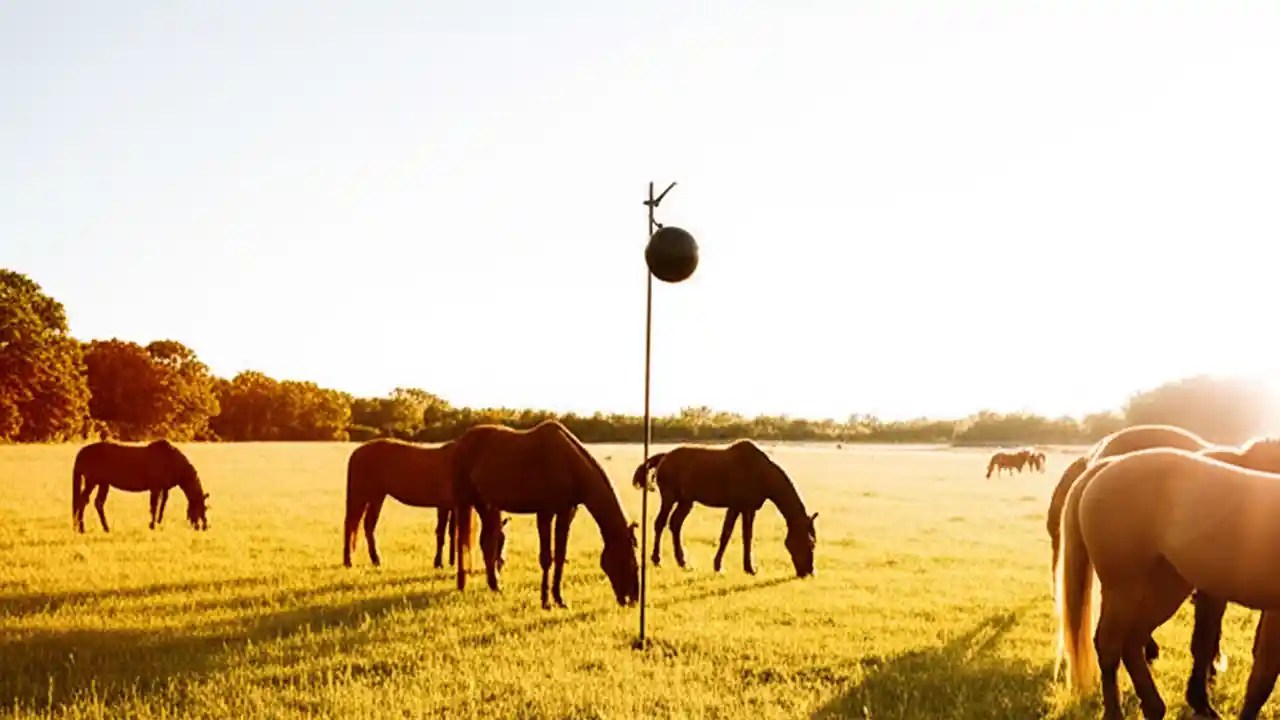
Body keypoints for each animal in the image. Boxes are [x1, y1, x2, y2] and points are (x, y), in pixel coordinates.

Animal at [71, 439, 209, 532]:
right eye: (199, 508)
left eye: (205, 508)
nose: (203, 527)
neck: (171, 461)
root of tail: (82, 452)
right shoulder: (155, 488)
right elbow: (154, 507)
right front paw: (152, 526)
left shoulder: (163, 489)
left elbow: (161, 507)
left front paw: (158, 523)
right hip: (92, 481)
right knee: (83, 501)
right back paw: (82, 529)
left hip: (103, 483)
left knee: (98, 503)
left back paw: (106, 528)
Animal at [344, 438, 498, 570]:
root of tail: (356, 453)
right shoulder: (443, 506)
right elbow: (441, 533)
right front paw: (439, 563)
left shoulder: (454, 507)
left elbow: (453, 533)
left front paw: (452, 562)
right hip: (360, 496)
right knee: (351, 524)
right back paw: (349, 561)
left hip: (377, 497)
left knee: (367, 526)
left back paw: (375, 560)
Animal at [452, 420, 639, 609]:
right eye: (631, 562)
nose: (632, 599)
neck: (568, 464)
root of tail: (462, 440)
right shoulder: (545, 512)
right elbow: (546, 557)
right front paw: (545, 601)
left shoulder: (566, 512)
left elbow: (560, 555)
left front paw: (559, 599)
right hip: (465, 501)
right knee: (462, 542)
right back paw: (461, 584)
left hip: (485, 505)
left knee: (487, 542)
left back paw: (495, 586)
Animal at [631, 440, 817, 577]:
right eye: (809, 542)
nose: (809, 572)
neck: (760, 472)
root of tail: (665, 457)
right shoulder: (735, 507)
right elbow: (726, 535)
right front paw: (719, 566)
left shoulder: (749, 509)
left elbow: (747, 536)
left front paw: (749, 568)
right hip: (669, 498)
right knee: (660, 523)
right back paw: (657, 559)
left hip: (686, 501)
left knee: (675, 524)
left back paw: (683, 562)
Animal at [1056, 441, 1280, 720]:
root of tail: (1107, 466)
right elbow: (1264, 676)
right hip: (1124, 588)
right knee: (1109, 643)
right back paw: (1118, 712)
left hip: (1163, 589)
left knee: (1133, 640)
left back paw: (1154, 707)